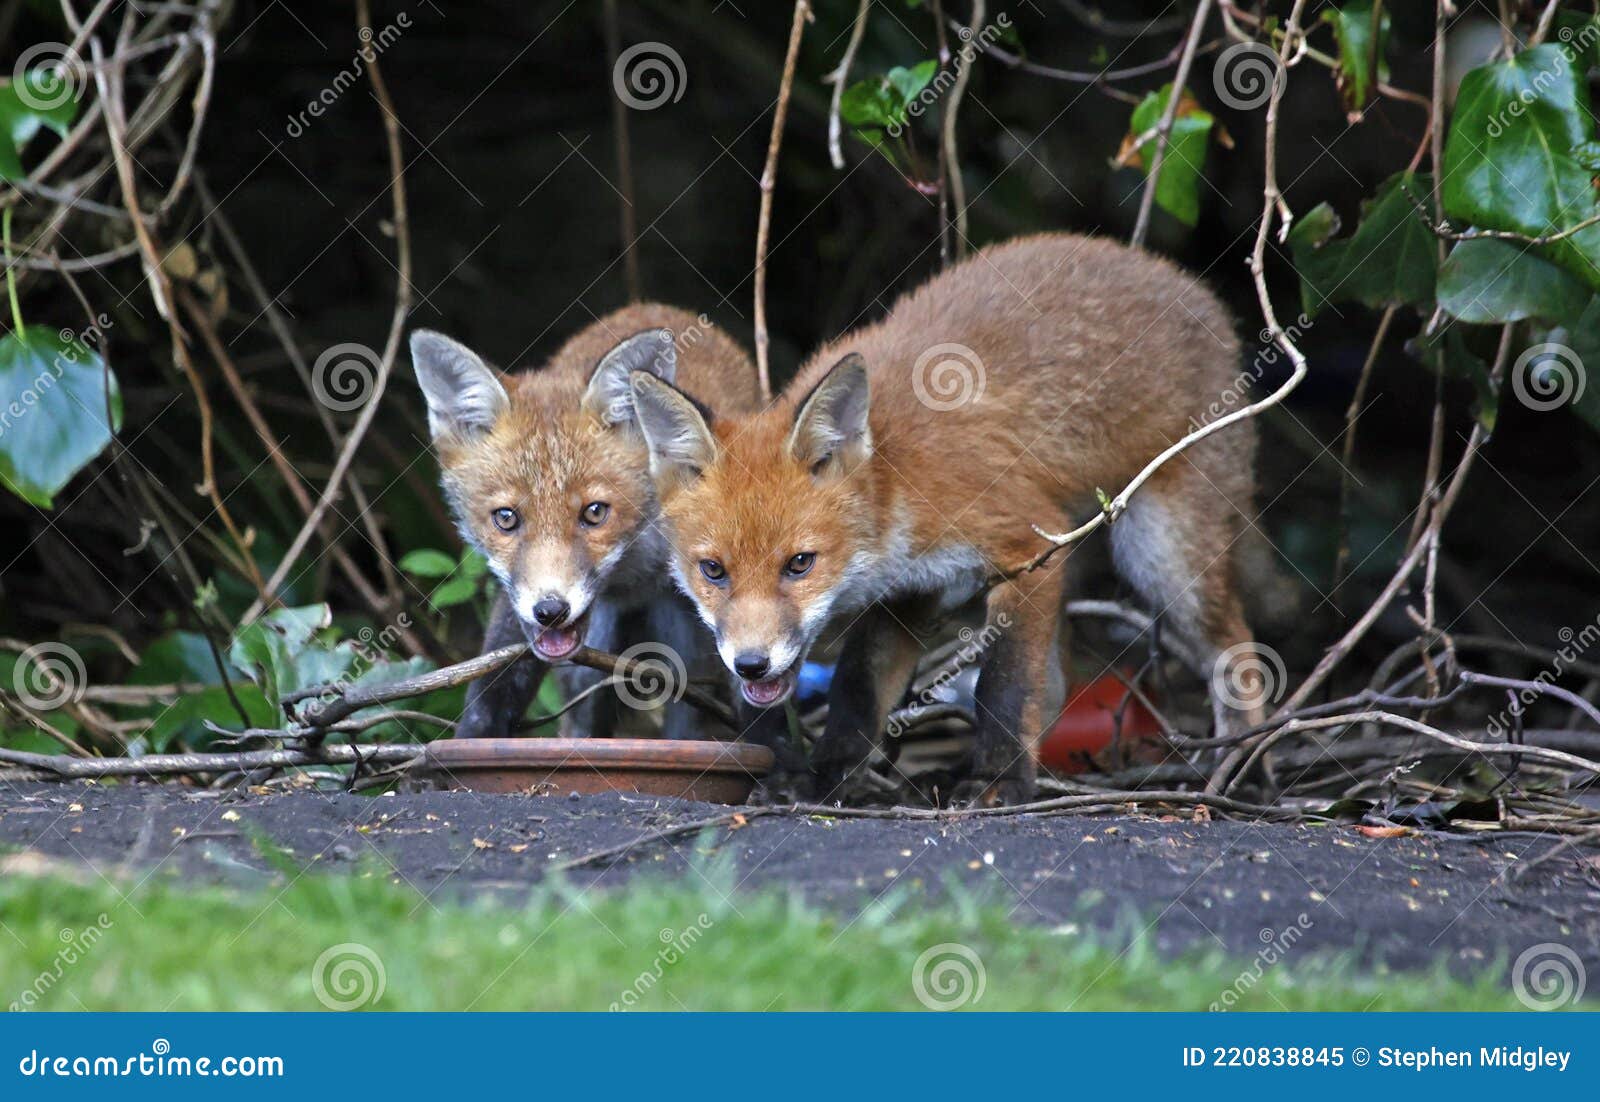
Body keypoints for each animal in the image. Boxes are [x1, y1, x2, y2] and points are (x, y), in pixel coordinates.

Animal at [409, 304, 766, 743]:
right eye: (506, 518)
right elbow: (490, 696)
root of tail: (654, 306)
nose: (550, 610)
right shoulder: (518, 613)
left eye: (595, 513)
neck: (634, 576)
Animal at [629, 233, 1270, 805]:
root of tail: (1181, 278)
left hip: (1162, 553)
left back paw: (1238, 771)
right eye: (713, 571)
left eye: (800, 564)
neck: (895, 487)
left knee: (1237, 654)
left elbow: (1003, 685)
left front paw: (997, 783)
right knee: (1060, 685)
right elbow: (857, 684)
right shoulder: (911, 591)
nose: (750, 663)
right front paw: (825, 774)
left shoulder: (1025, 548)